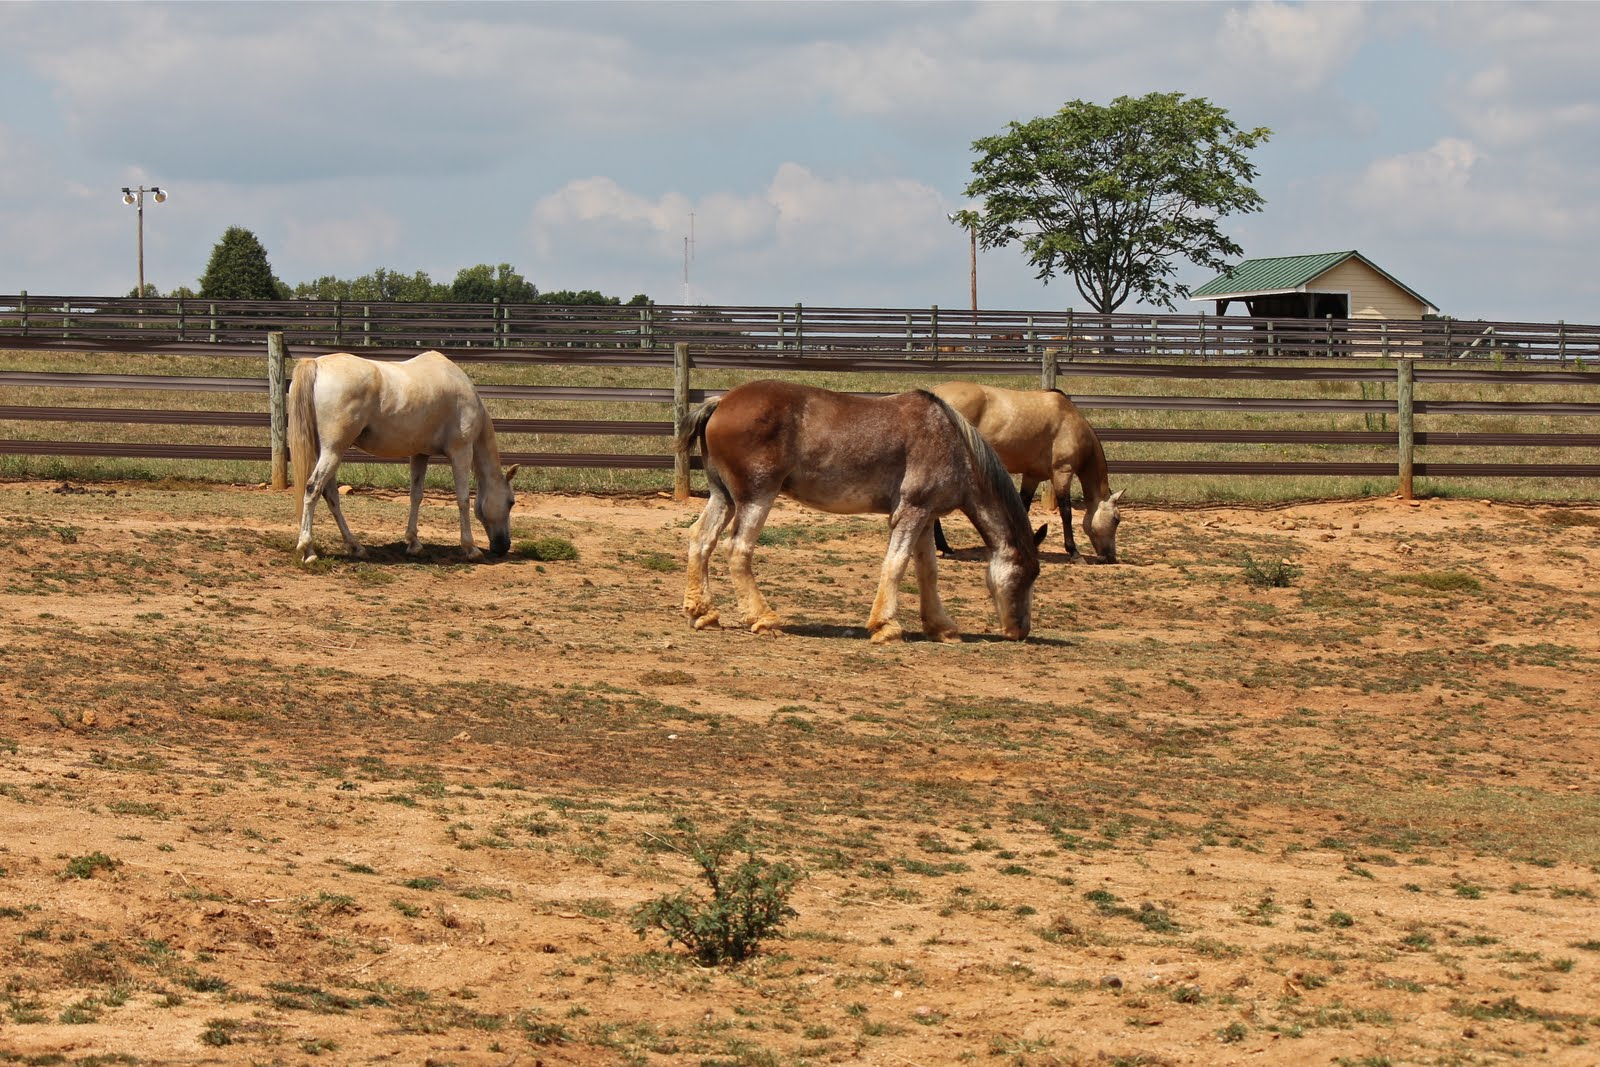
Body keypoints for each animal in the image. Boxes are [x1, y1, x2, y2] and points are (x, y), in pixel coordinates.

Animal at [288, 350, 518, 563]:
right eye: (511, 502)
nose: (503, 546)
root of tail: (316, 364)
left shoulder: (420, 454)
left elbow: (416, 496)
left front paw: (414, 543)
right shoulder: (461, 451)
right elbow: (463, 499)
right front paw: (471, 548)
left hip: (327, 452)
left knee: (331, 495)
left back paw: (355, 546)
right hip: (334, 450)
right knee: (313, 489)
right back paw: (308, 549)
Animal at [675, 380, 1040, 643]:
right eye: (1027, 574)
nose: (1020, 631)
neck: (950, 441)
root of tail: (721, 402)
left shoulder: (924, 517)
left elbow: (927, 571)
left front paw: (941, 627)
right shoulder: (910, 512)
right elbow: (896, 564)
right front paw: (886, 627)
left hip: (724, 498)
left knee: (701, 538)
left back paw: (703, 613)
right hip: (757, 498)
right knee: (738, 548)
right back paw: (764, 619)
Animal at [930, 382, 1123, 563]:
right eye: (1116, 519)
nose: (1110, 557)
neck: (1071, 420)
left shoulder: (1032, 476)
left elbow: (1024, 506)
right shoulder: (1062, 473)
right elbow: (1066, 512)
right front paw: (1074, 552)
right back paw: (944, 547)